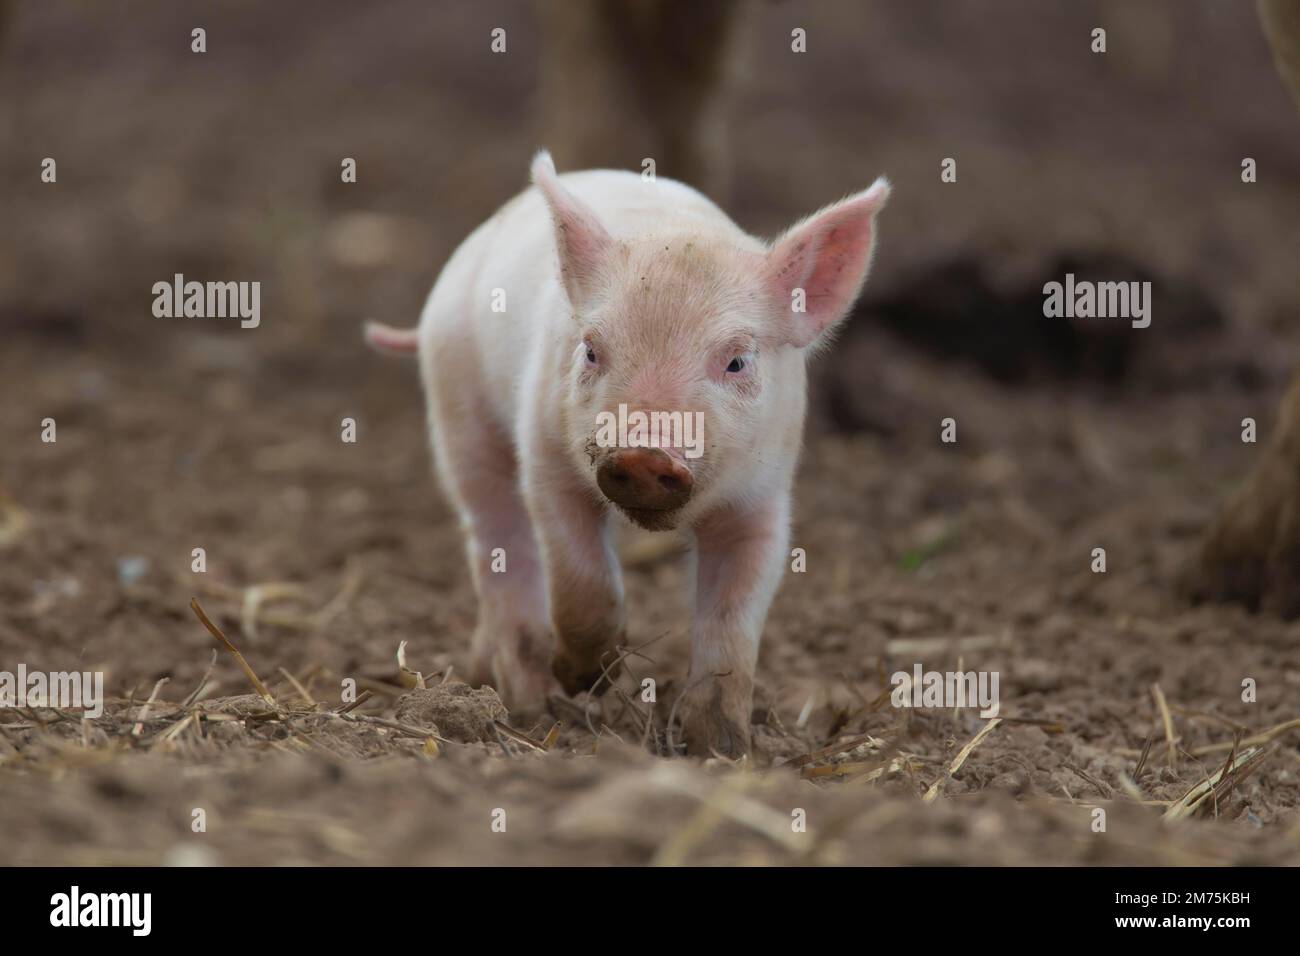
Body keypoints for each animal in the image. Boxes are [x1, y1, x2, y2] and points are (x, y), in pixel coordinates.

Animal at [366, 152, 889, 756]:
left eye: (737, 361)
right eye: (592, 350)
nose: (643, 456)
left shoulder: (763, 500)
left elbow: (734, 623)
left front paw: (723, 747)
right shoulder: (546, 457)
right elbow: (582, 580)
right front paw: (584, 680)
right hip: (458, 408)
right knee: (495, 538)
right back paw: (528, 700)